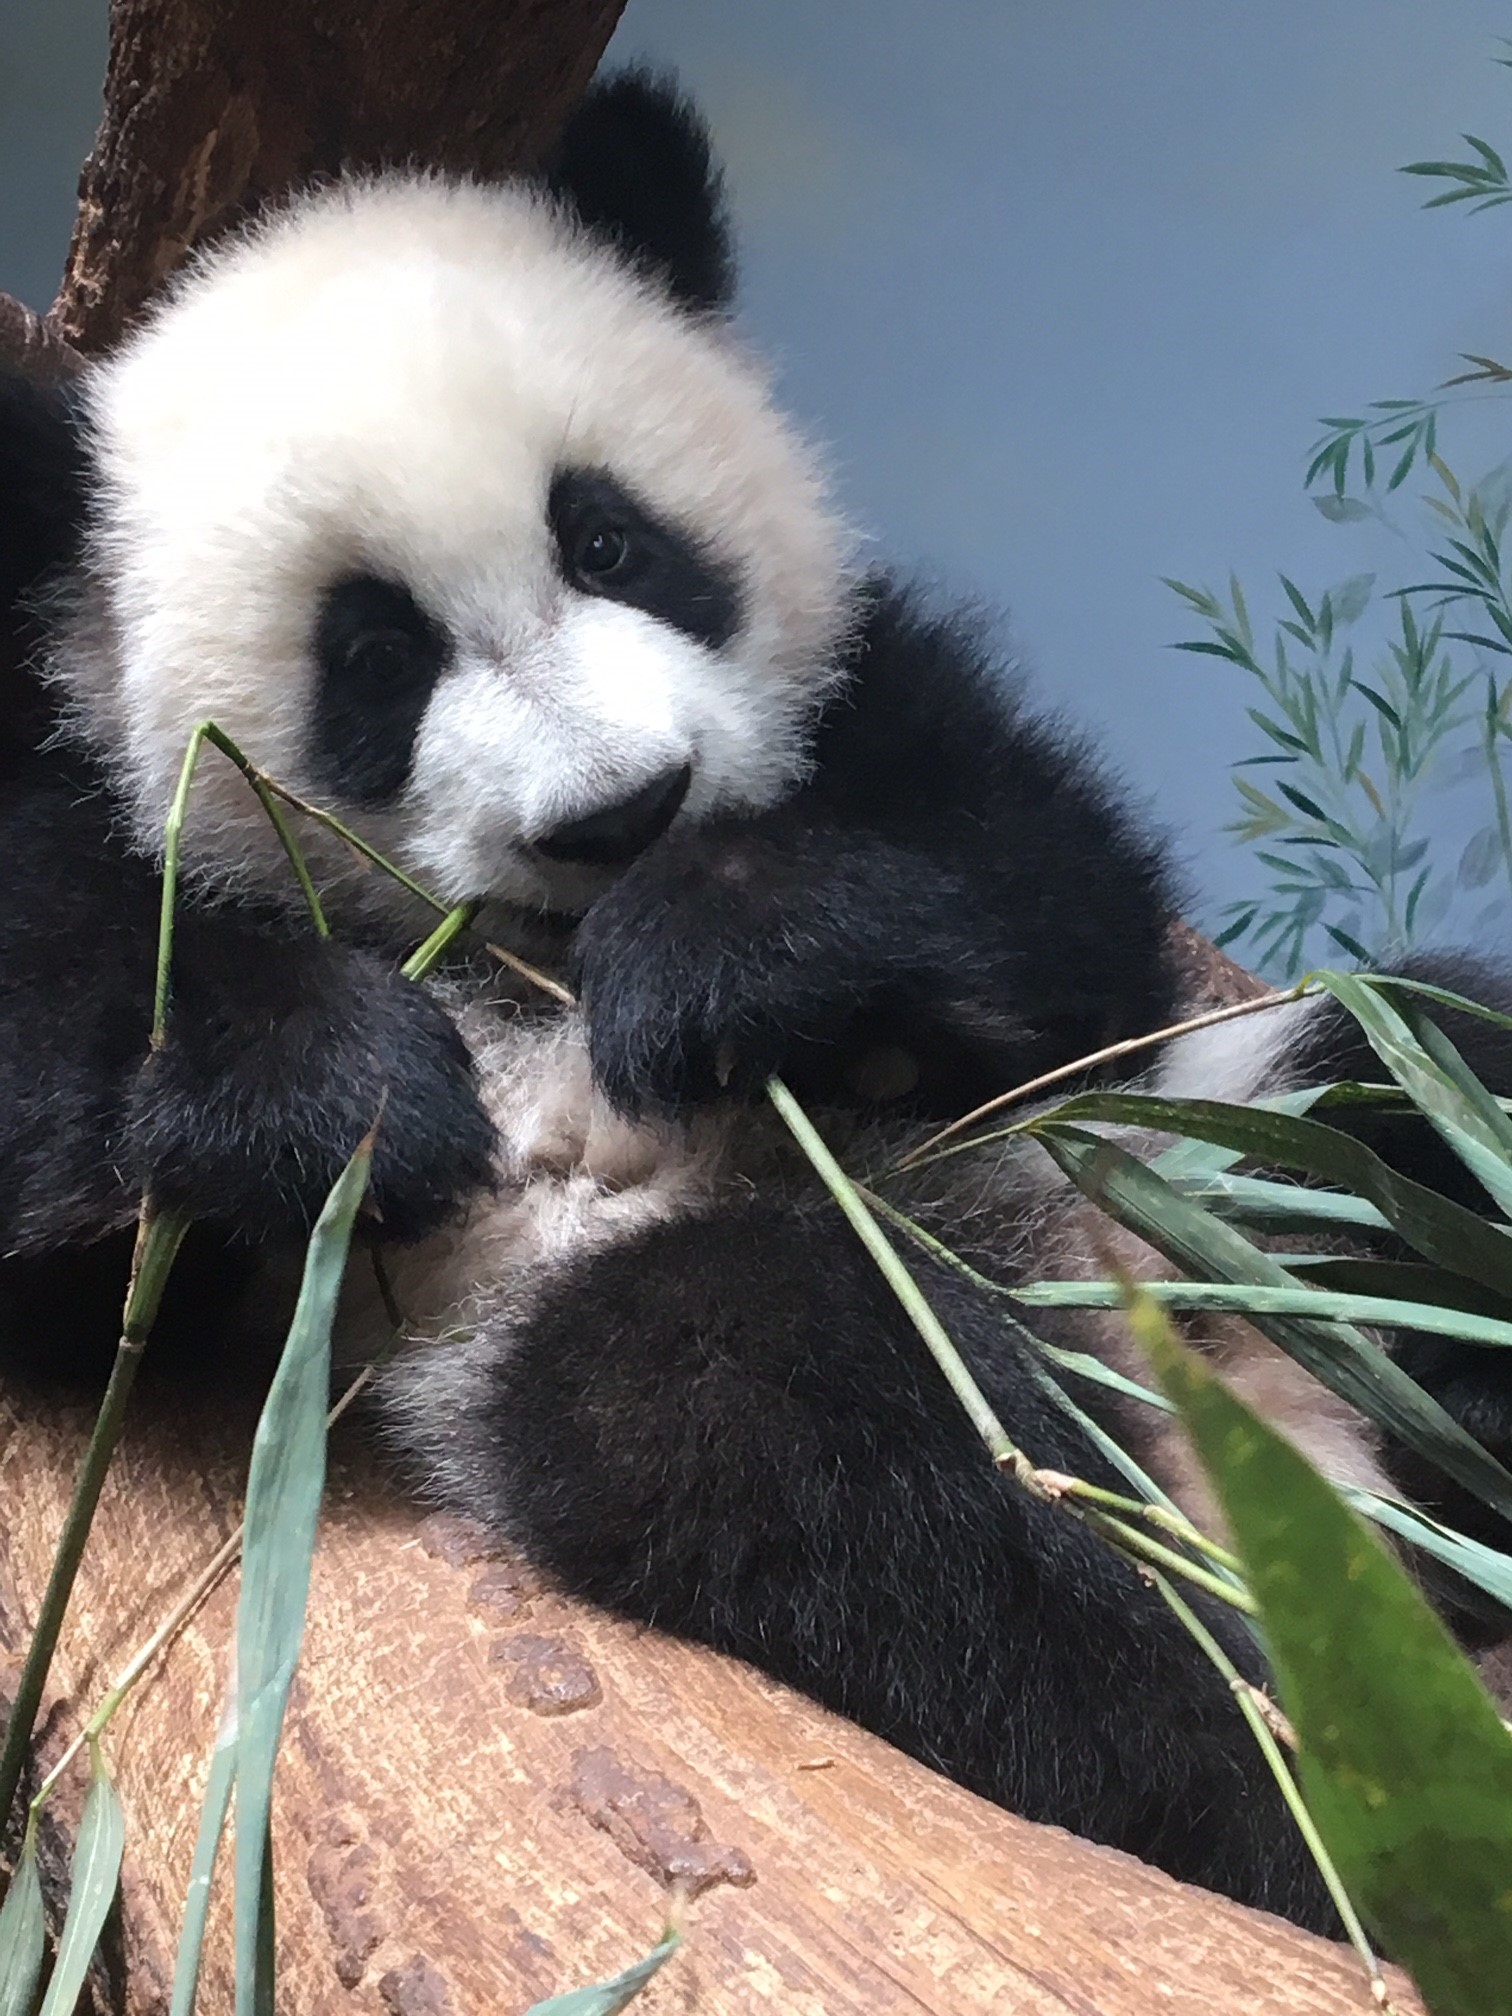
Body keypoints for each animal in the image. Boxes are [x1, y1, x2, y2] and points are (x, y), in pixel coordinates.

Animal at [2, 69, 1510, 1936]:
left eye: (610, 539)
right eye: (374, 657)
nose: (618, 809)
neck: (537, 956)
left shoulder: (889, 704)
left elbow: (1054, 913)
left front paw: (718, 956)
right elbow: (78, 1125)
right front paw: (345, 1086)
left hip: (1227, 1133)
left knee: (1420, 1098)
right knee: (844, 1443)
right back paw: (1283, 1764)